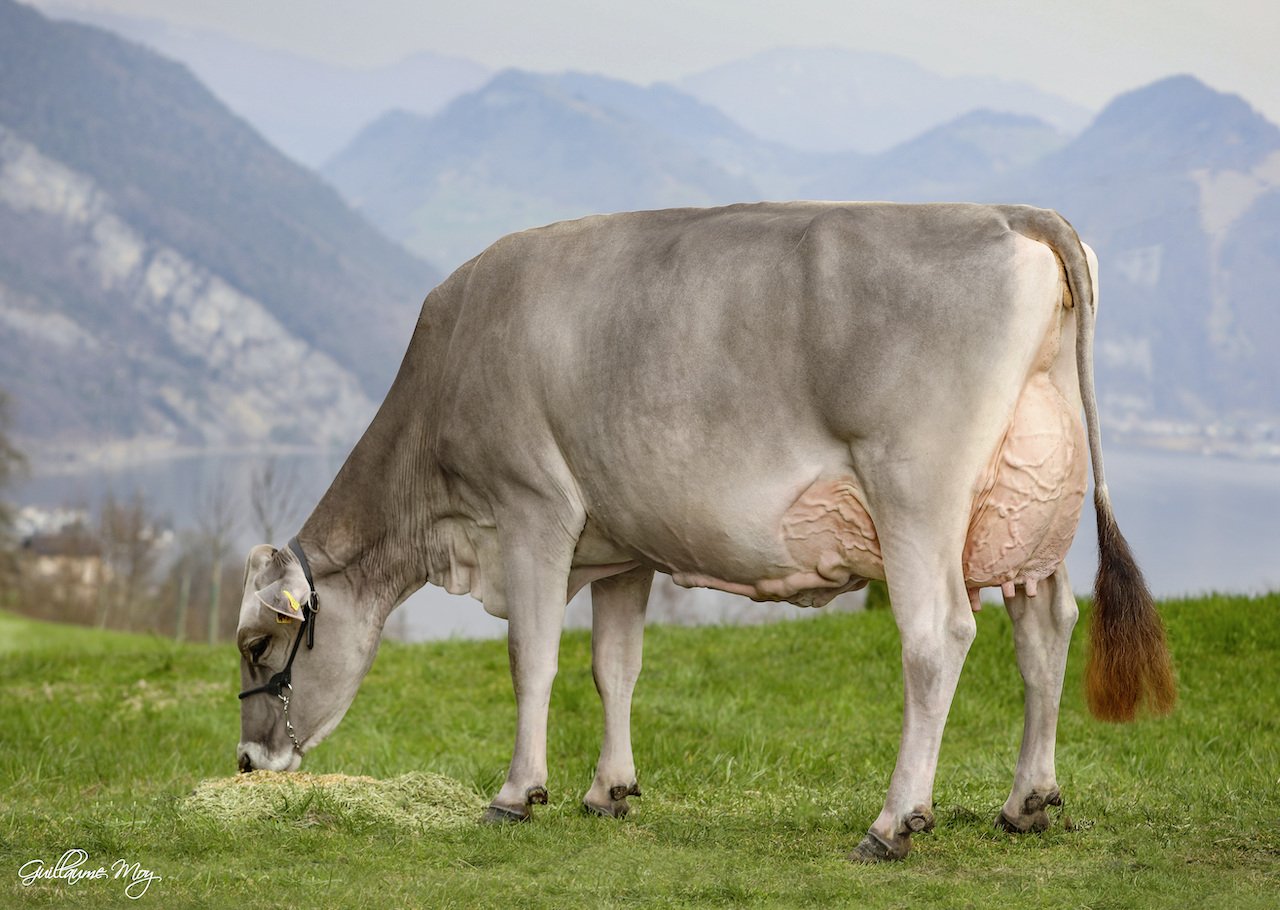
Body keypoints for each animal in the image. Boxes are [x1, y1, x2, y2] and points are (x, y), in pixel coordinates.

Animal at [236, 202, 1175, 861]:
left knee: (937, 637)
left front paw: (515, 792)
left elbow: (531, 661)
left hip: (917, 493)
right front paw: (608, 790)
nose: (246, 763)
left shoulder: (533, 508)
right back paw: (1029, 803)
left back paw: (892, 822)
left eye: (257, 645)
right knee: (1045, 632)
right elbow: (613, 666)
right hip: (1030, 505)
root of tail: (1013, 212)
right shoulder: (620, 539)